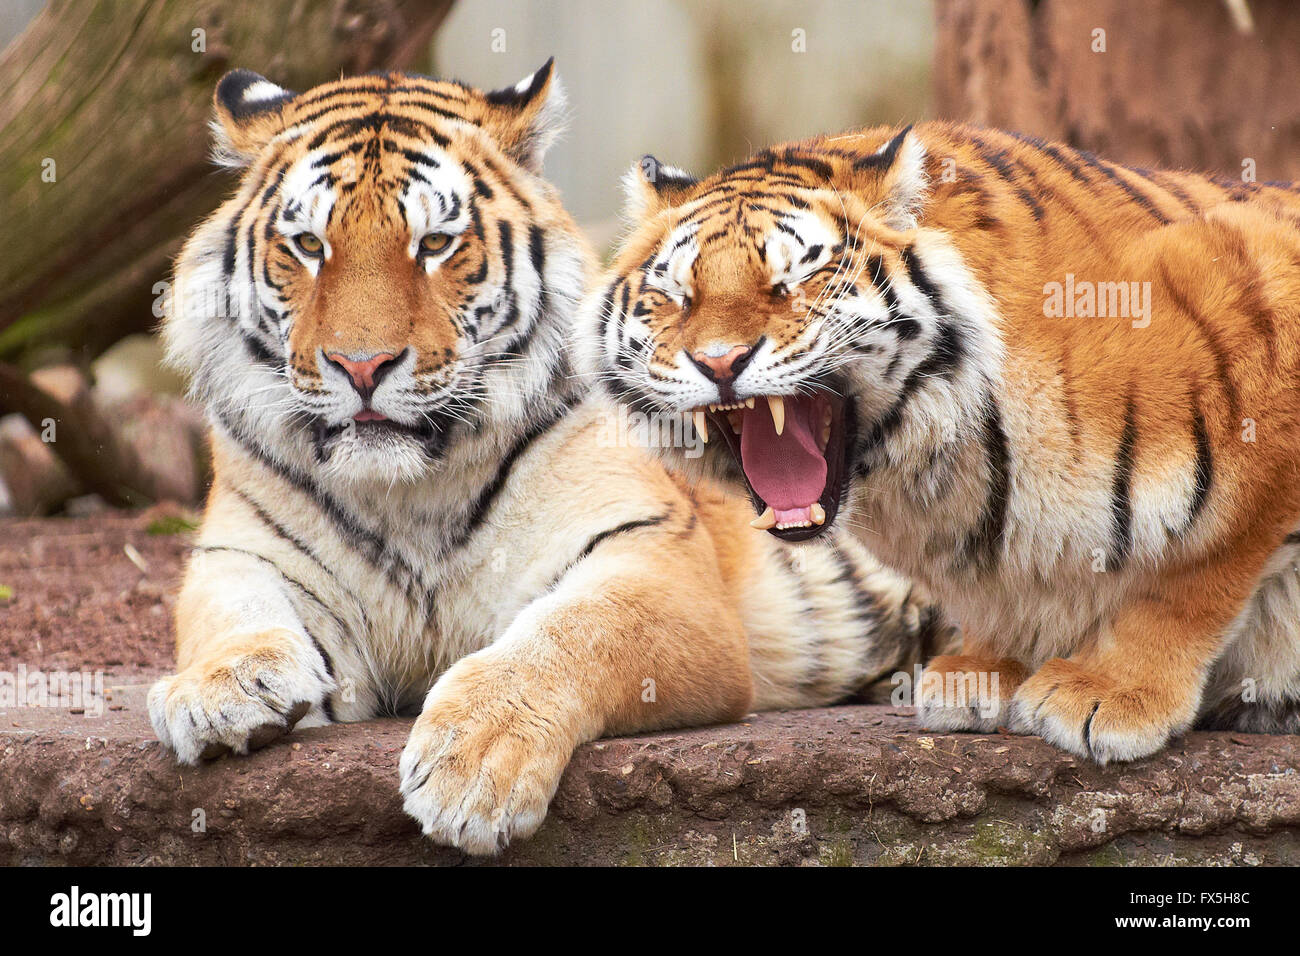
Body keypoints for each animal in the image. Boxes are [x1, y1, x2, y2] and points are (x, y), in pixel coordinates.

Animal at [147, 62, 953, 855]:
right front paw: (218, 692)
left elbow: (568, 634)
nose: (362, 365)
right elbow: (230, 611)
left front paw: (475, 762)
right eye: (310, 247)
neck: (408, 490)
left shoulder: (653, 558)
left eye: (434, 244)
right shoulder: (241, 550)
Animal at [579, 120, 1300, 765]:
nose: (721, 362)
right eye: (677, 295)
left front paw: (1111, 693)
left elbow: (1192, 575)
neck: (958, 447)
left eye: (793, 282)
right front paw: (980, 671)